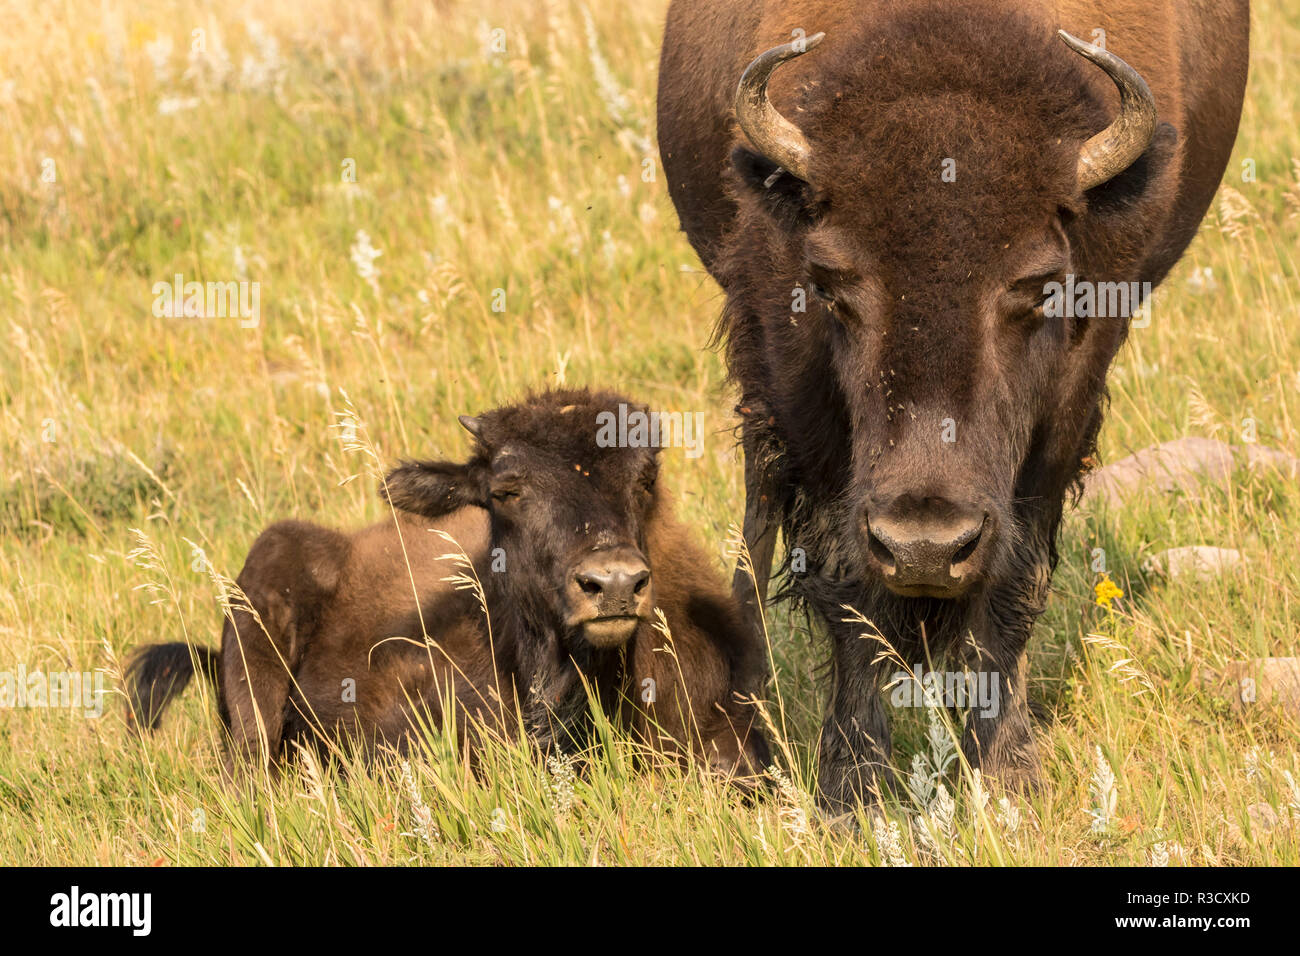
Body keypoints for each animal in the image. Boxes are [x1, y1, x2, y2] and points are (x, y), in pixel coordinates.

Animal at [657, 0, 1249, 810]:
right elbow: (849, 587)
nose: (926, 545)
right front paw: (853, 795)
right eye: (832, 281)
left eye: (1038, 285)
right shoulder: (794, 382)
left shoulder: (1068, 406)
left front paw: (1006, 780)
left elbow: (1013, 583)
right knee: (761, 504)